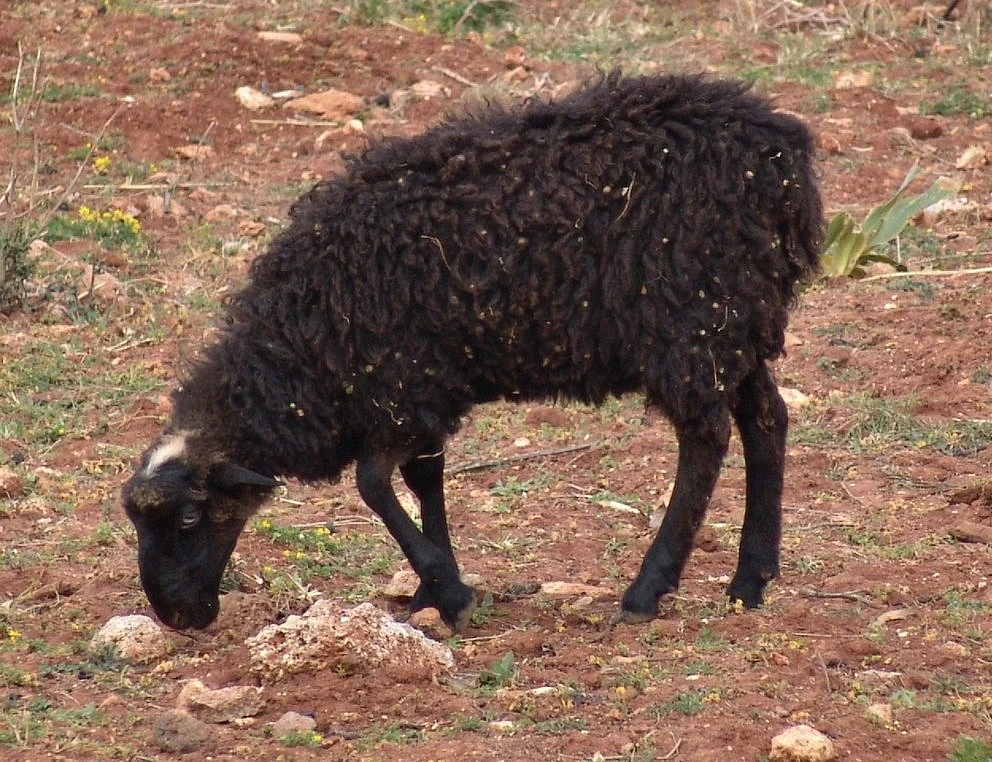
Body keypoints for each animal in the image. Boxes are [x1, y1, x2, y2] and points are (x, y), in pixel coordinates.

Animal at [122, 71, 823, 632]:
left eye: (190, 520)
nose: (176, 616)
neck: (302, 347)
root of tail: (781, 155)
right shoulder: (423, 392)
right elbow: (422, 480)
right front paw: (432, 591)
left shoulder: (401, 384)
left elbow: (373, 484)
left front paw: (450, 591)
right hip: (736, 321)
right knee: (767, 419)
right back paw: (750, 580)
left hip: (690, 322)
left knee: (704, 442)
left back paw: (647, 591)